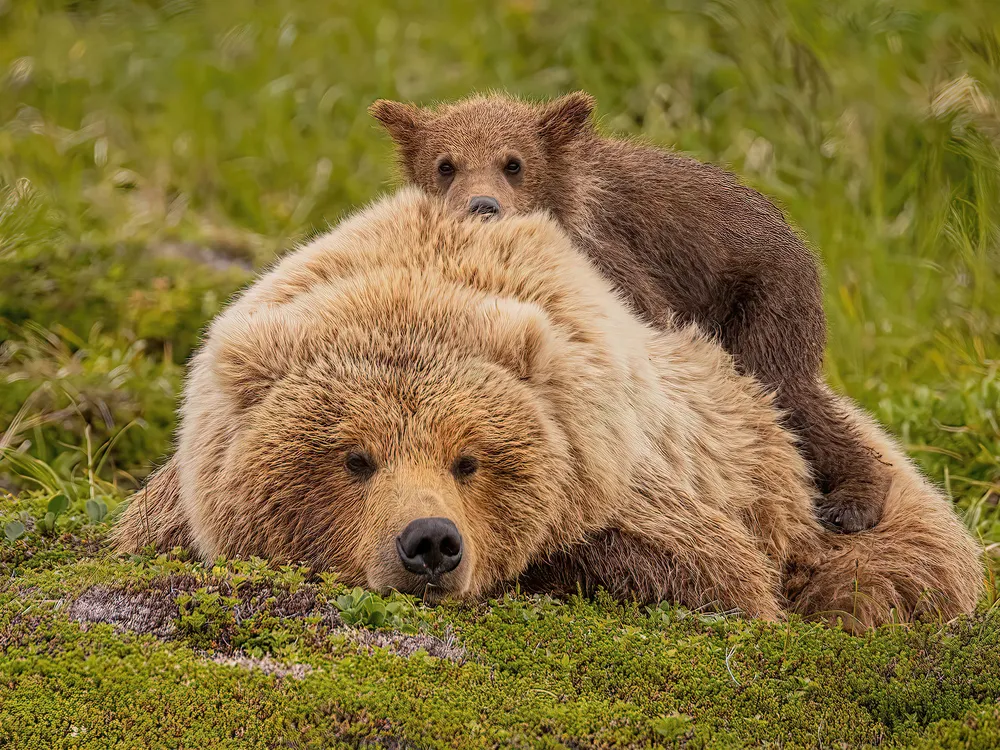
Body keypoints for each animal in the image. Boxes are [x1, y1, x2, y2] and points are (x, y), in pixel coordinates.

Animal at [111, 188, 982, 630]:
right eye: (354, 457)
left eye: (468, 458)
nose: (430, 544)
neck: (416, 279)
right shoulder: (182, 496)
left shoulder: (637, 474)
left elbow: (707, 575)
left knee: (885, 572)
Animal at [368, 92, 889, 536]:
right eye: (446, 165)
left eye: (513, 163)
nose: (483, 205)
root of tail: (792, 231)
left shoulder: (614, 260)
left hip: (763, 297)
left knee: (786, 390)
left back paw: (852, 500)